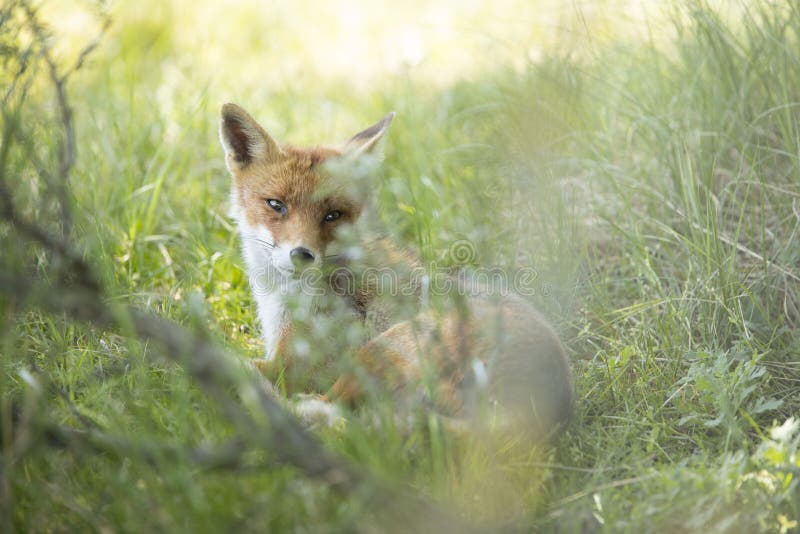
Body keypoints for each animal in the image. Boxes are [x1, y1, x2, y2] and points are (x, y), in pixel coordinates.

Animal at [219, 103, 574, 439]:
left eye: (333, 215)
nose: (301, 255)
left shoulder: (293, 367)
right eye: (276, 204)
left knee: (336, 419)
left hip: (382, 349)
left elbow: (242, 361)